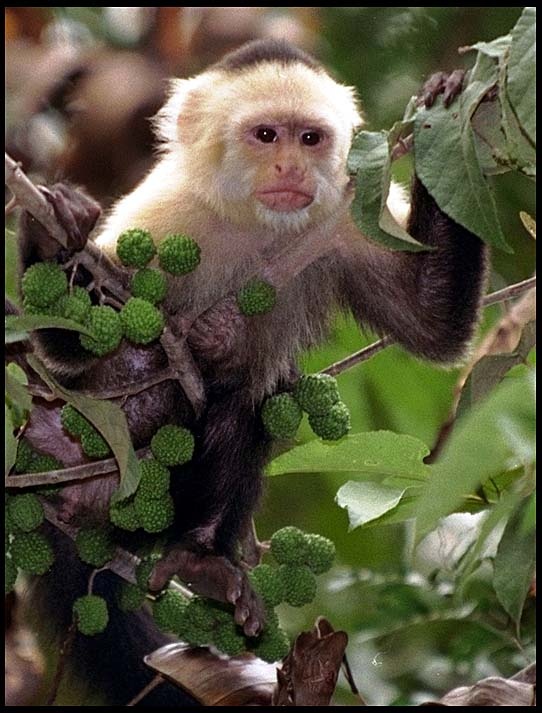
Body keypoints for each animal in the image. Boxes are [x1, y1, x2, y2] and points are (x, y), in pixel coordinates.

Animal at [10, 38, 487, 705]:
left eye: (310, 138)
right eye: (266, 135)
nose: (290, 167)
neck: (250, 228)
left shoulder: (344, 222)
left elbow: (432, 324)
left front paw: (439, 118)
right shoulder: (163, 220)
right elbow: (79, 349)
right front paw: (53, 237)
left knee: (246, 403)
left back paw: (203, 556)